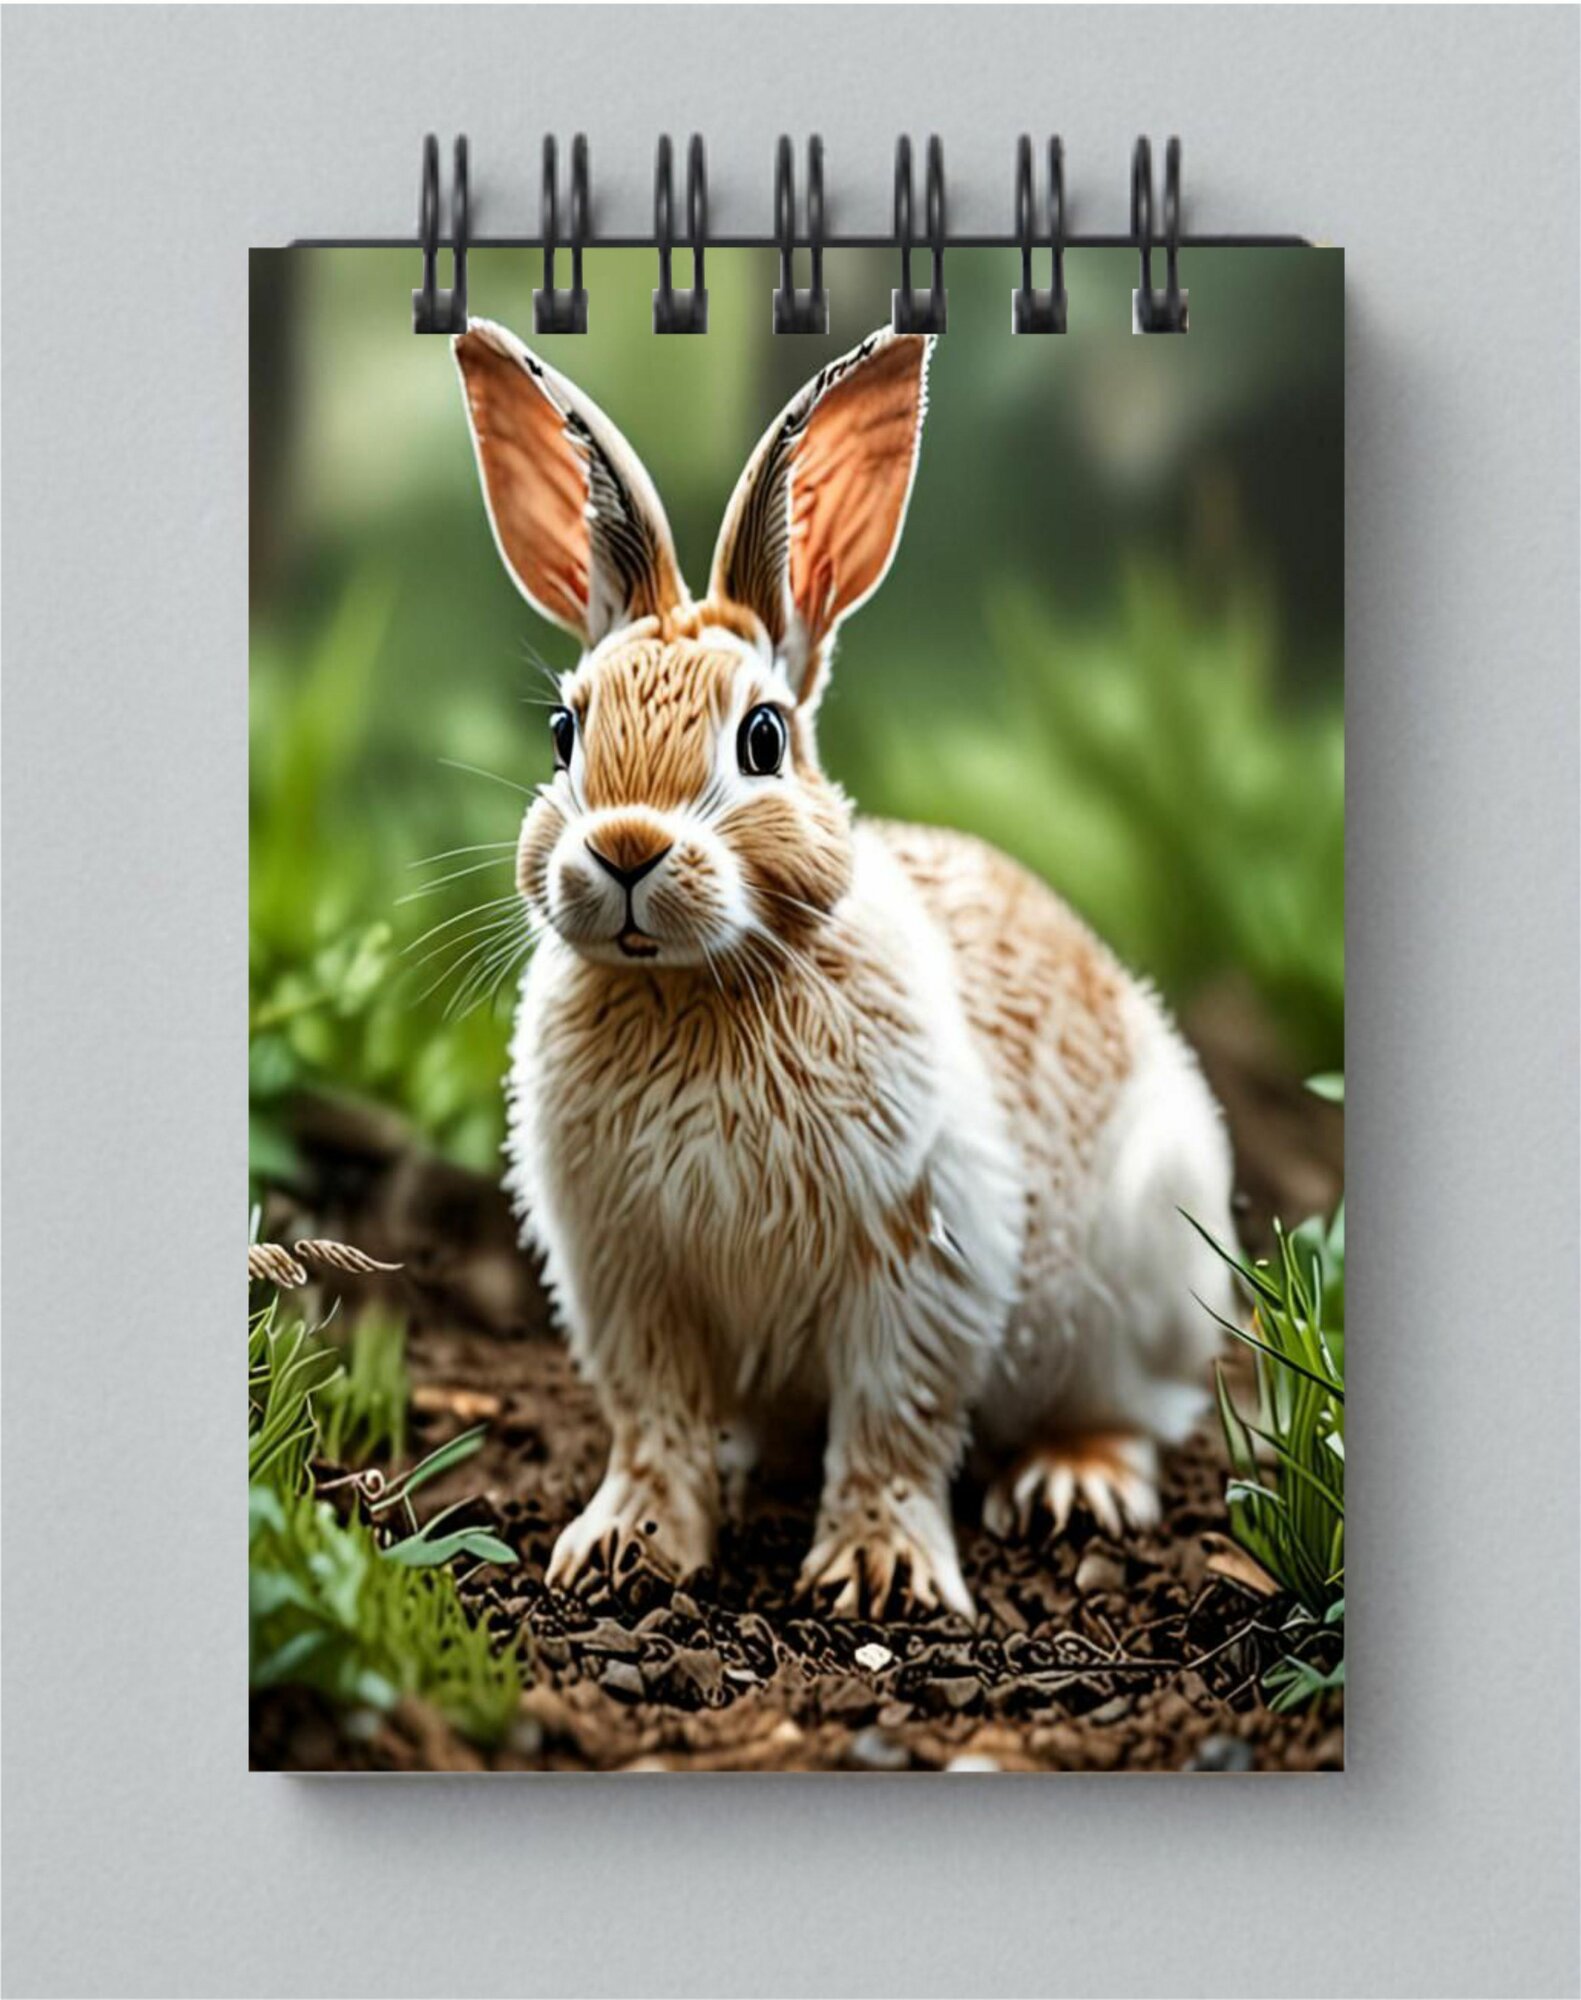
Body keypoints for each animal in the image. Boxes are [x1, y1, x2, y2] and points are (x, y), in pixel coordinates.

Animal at [453, 318, 1239, 1620]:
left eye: (763, 738)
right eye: (564, 734)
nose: (625, 848)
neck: (703, 980)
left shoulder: (922, 1255)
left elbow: (893, 1417)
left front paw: (879, 1574)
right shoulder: (631, 1276)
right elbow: (653, 1417)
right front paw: (625, 1547)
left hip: (1138, 1277)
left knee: (1132, 1410)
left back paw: (1072, 1487)